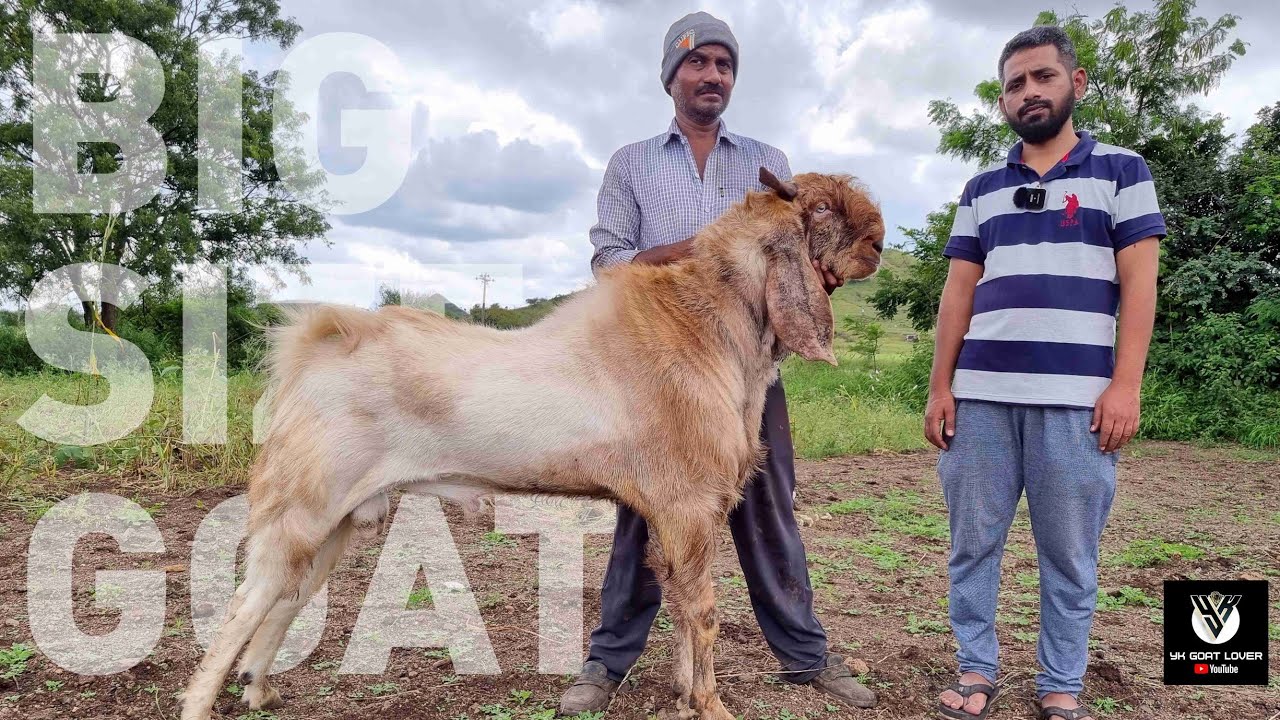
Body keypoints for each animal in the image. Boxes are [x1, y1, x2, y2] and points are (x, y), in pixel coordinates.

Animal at [180, 168, 885, 720]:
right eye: (822, 209)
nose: (880, 241)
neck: (713, 327)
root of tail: (315, 346)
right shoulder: (687, 506)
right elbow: (704, 610)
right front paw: (710, 704)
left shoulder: (675, 514)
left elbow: (682, 607)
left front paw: (684, 695)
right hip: (304, 502)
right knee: (242, 604)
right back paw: (201, 700)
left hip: (341, 517)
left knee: (284, 598)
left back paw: (259, 689)